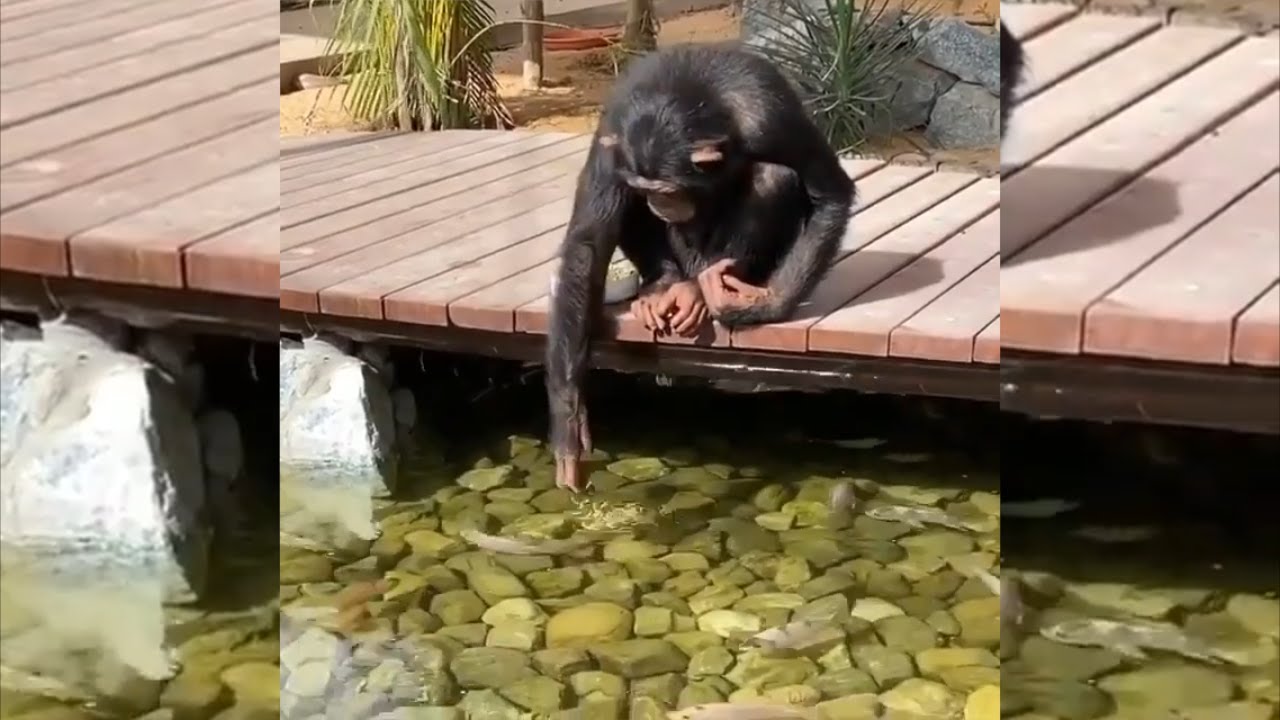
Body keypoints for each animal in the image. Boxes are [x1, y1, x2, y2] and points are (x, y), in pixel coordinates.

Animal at [544, 44, 856, 492]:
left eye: (669, 189)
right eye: (649, 189)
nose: (658, 200)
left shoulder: (773, 119)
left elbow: (828, 191)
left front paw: (765, 306)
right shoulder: (613, 140)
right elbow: (587, 245)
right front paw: (569, 425)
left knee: (773, 175)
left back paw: (703, 291)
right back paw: (664, 286)